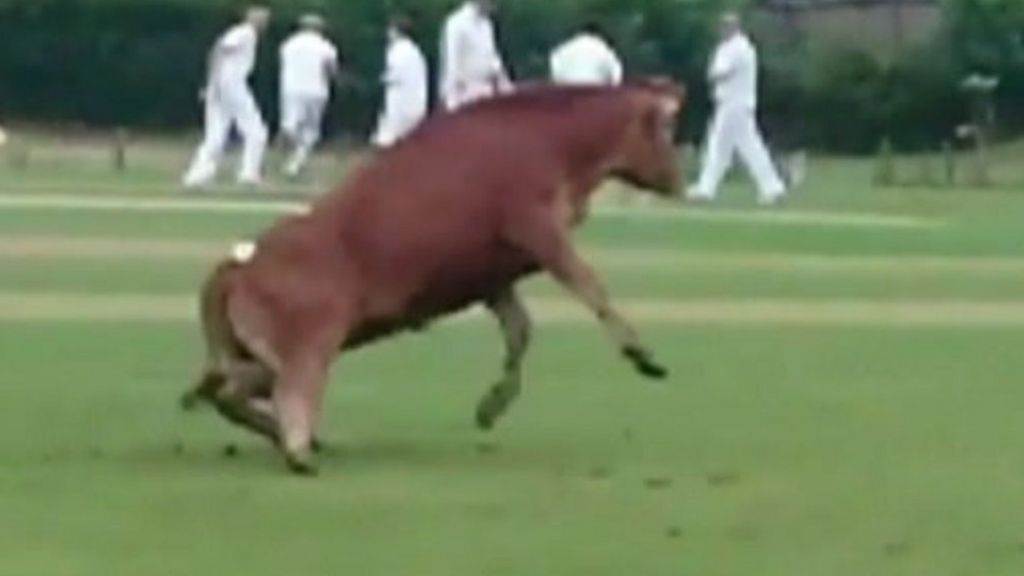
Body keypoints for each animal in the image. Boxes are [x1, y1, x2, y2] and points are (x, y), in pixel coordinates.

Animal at [181, 80, 687, 475]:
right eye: (666, 128)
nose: (680, 182)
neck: (551, 140)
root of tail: (238, 264)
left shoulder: (492, 278)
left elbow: (519, 332)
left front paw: (492, 405)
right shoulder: (540, 231)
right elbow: (591, 288)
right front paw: (641, 353)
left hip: (262, 356)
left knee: (227, 394)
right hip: (310, 343)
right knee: (285, 390)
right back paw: (300, 451)